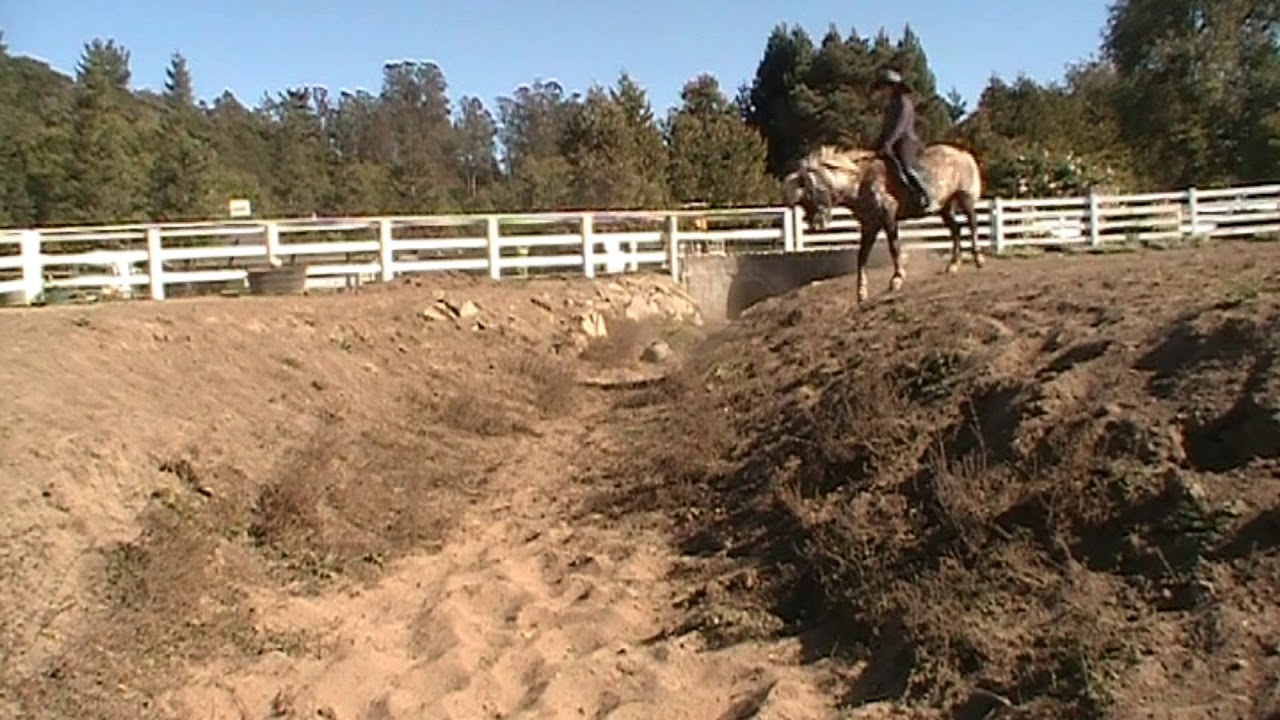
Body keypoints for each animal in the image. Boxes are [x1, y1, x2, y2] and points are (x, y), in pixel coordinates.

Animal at [782, 143, 986, 302]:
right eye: (802, 201)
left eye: (810, 193)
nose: (817, 226)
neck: (860, 181)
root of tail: (962, 153)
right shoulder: (870, 225)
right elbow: (862, 256)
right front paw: (861, 292)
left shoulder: (888, 215)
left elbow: (894, 247)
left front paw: (897, 279)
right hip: (944, 207)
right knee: (956, 230)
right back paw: (953, 265)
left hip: (965, 199)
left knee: (972, 223)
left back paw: (978, 258)